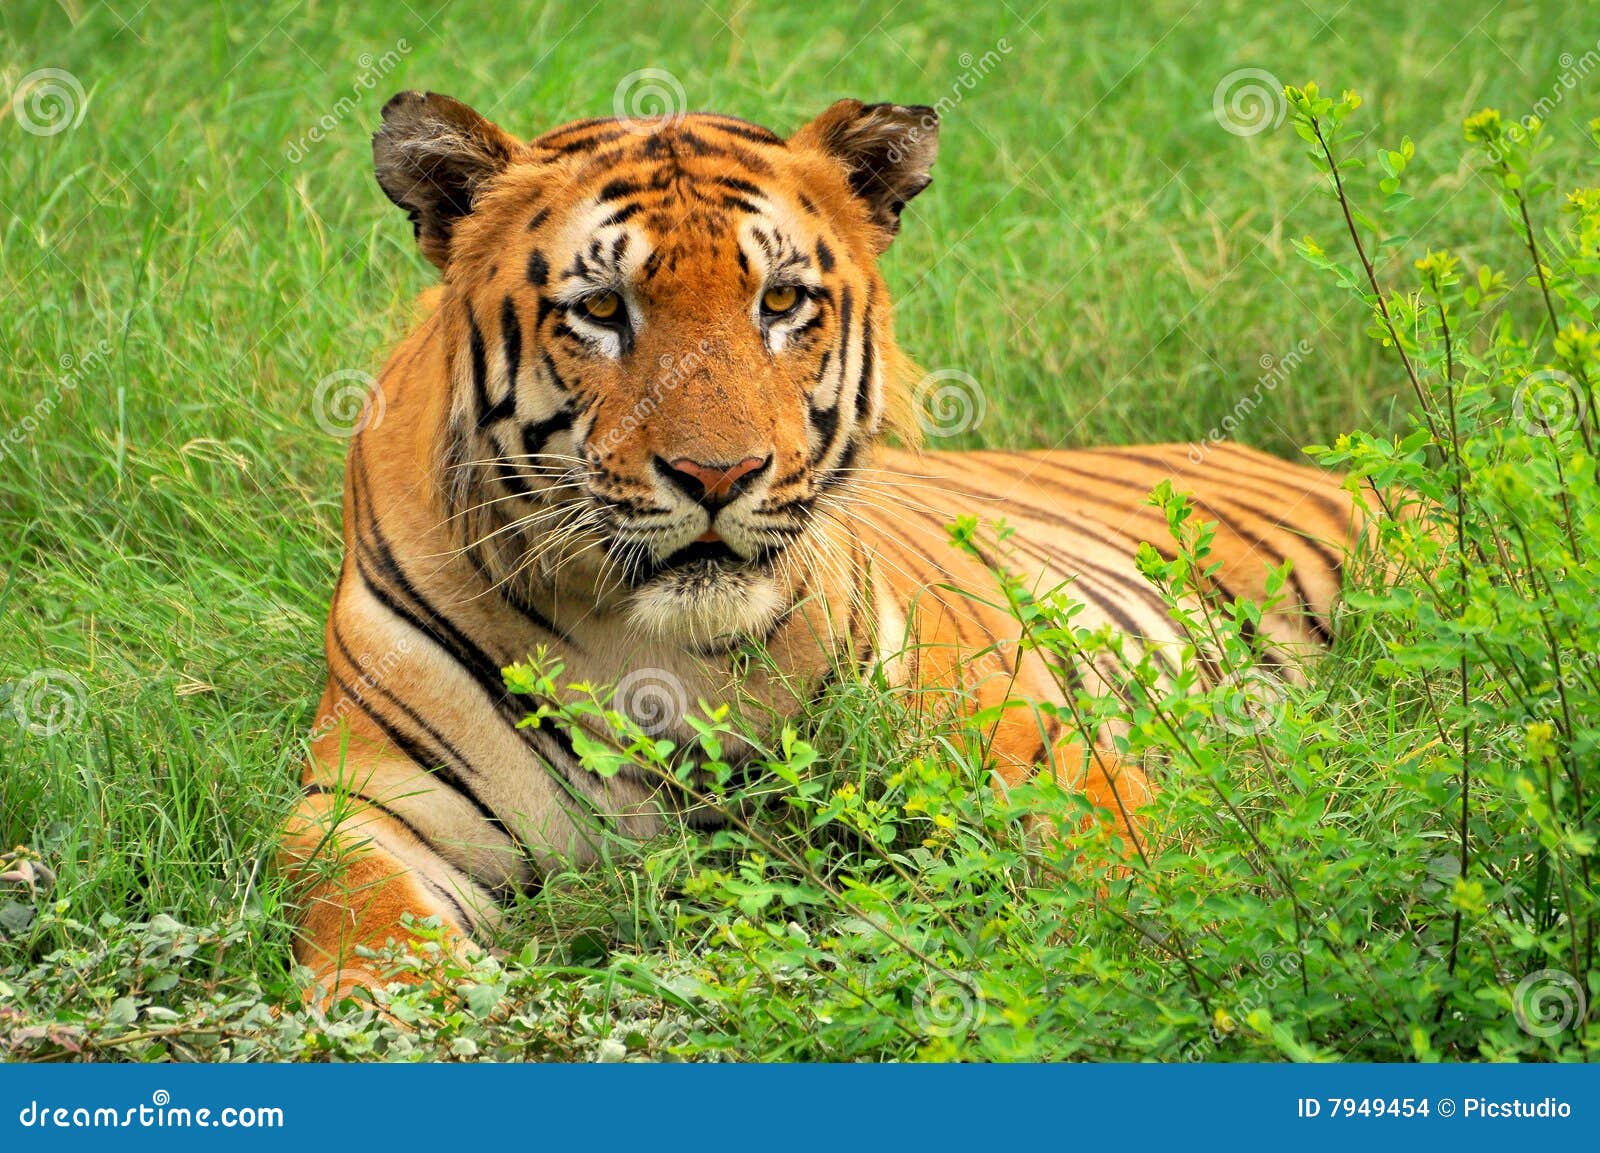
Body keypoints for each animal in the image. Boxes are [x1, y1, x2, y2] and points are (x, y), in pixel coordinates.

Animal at [283, 91, 1366, 998]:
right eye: (599, 310)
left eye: (779, 302)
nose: (718, 475)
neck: (649, 646)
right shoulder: (370, 801)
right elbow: (353, 907)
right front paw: (397, 1004)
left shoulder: (1021, 736)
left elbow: (1127, 854)